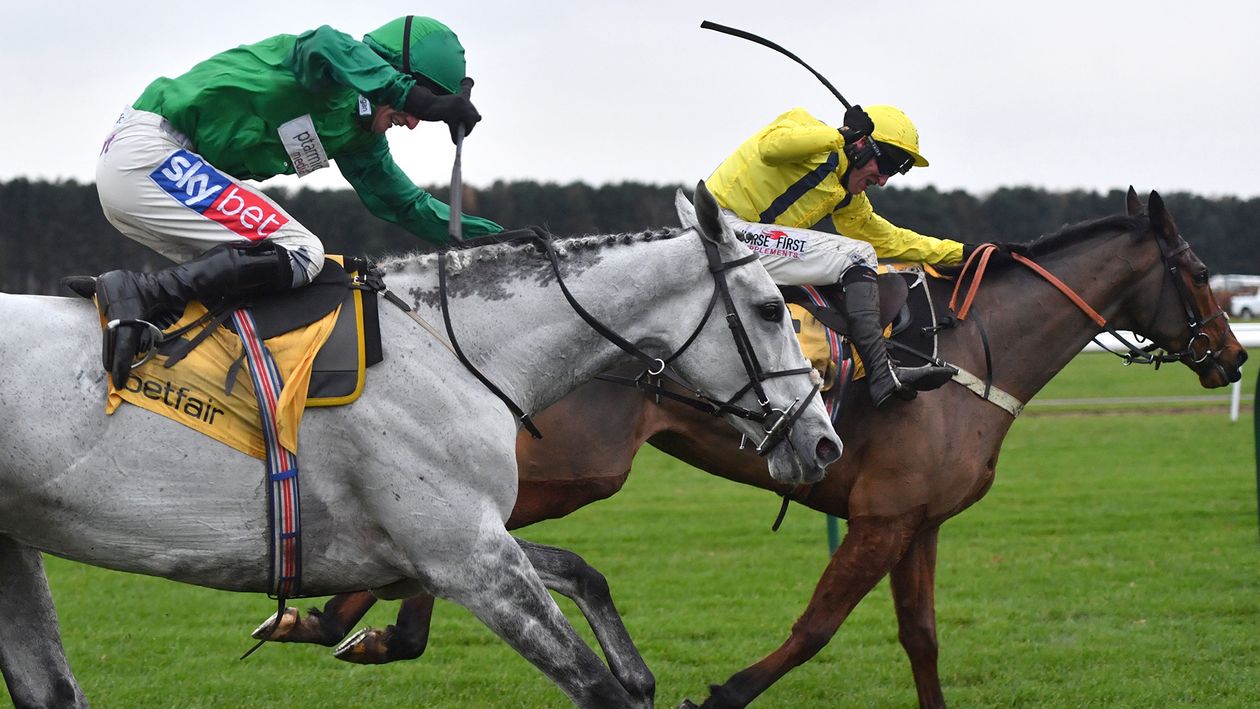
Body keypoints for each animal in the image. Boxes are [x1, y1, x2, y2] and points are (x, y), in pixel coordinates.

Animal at [0, 183, 843, 709]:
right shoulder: (468, 557)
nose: (826, 441)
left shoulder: (451, 542)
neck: (457, 349)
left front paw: (642, 676)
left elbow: (585, 575)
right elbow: (592, 682)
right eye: (772, 309)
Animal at [252, 189, 1245, 708]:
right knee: (448, 539)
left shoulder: (918, 522)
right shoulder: (880, 518)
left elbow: (921, 637)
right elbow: (815, 627)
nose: (1233, 355)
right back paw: (343, 619)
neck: (968, 356)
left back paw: (345, 619)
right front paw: (724, 691)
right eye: (1199, 273)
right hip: (573, 471)